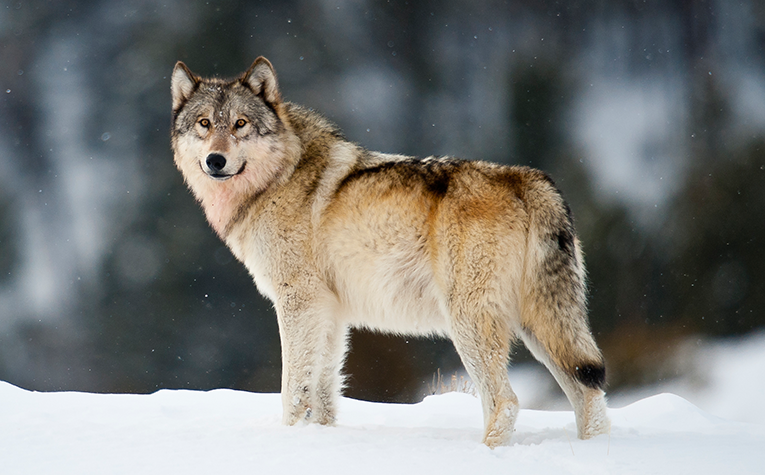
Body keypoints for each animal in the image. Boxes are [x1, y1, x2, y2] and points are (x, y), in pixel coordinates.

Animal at [170, 57, 610, 447]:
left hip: (470, 324)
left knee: (506, 401)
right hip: (539, 327)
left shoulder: (298, 303)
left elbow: (292, 390)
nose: (215, 160)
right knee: (588, 393)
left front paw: (290, 440)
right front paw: (318, 439)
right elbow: (323, 394)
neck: (278, 177)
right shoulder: (330, 312)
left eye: (240, 124)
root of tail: (526, 179)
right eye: (204, 124)